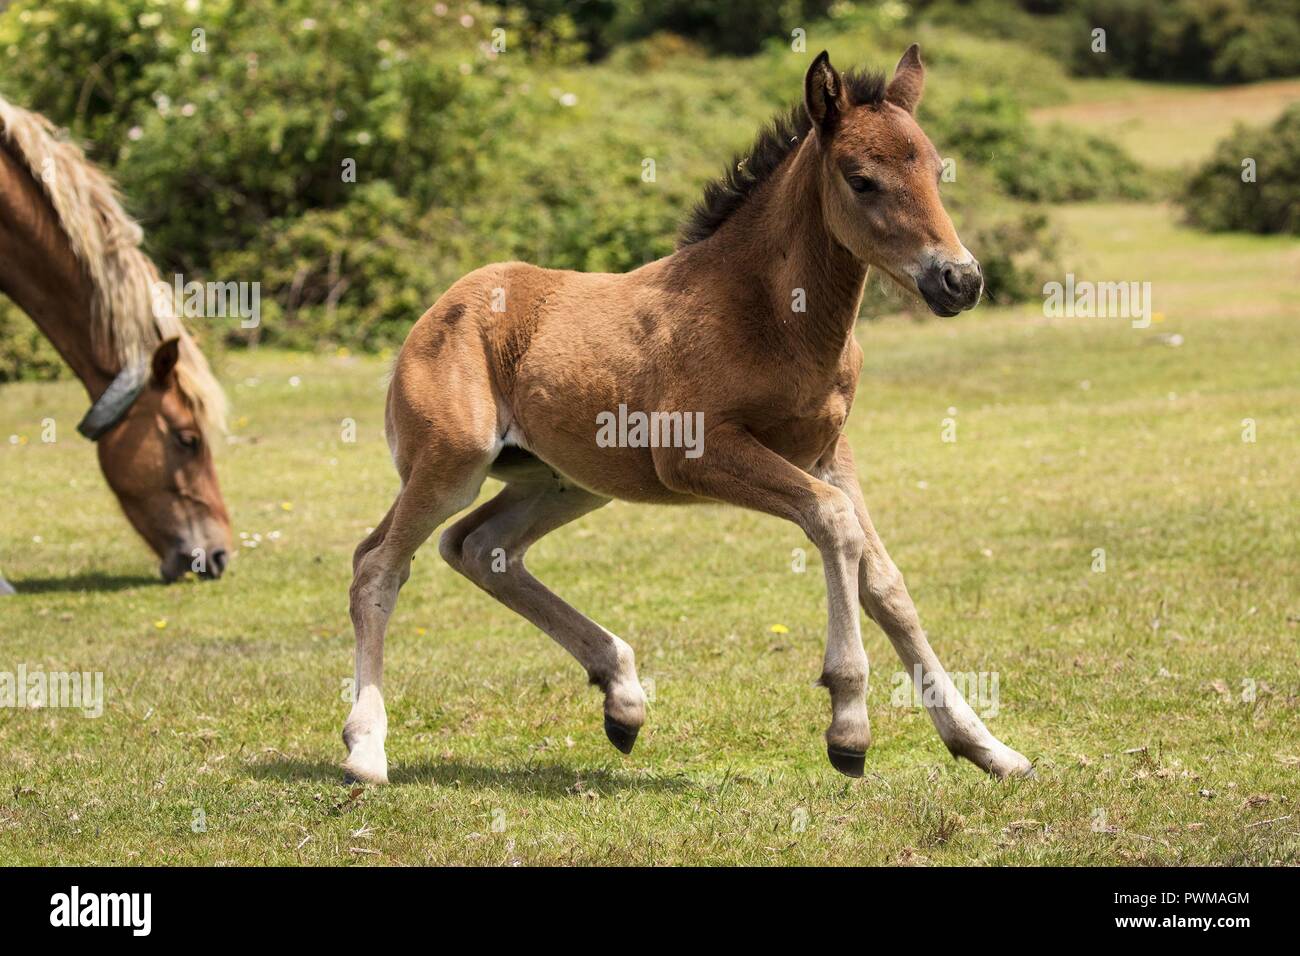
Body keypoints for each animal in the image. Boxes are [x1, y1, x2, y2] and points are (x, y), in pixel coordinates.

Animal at [342, 47, 1034, 783]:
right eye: (862, 180)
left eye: (934, 169)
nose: (960, 280)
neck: (774, 315)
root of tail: (436, 310)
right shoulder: (697, 454)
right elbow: (834, 523)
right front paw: (849, 727)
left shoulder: (827, 453)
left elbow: (887, 586)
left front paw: (985, 746)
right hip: (453, 462)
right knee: (377, 565)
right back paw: (366, 748)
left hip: (566, 481)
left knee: (479, 547)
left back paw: (622, 698)